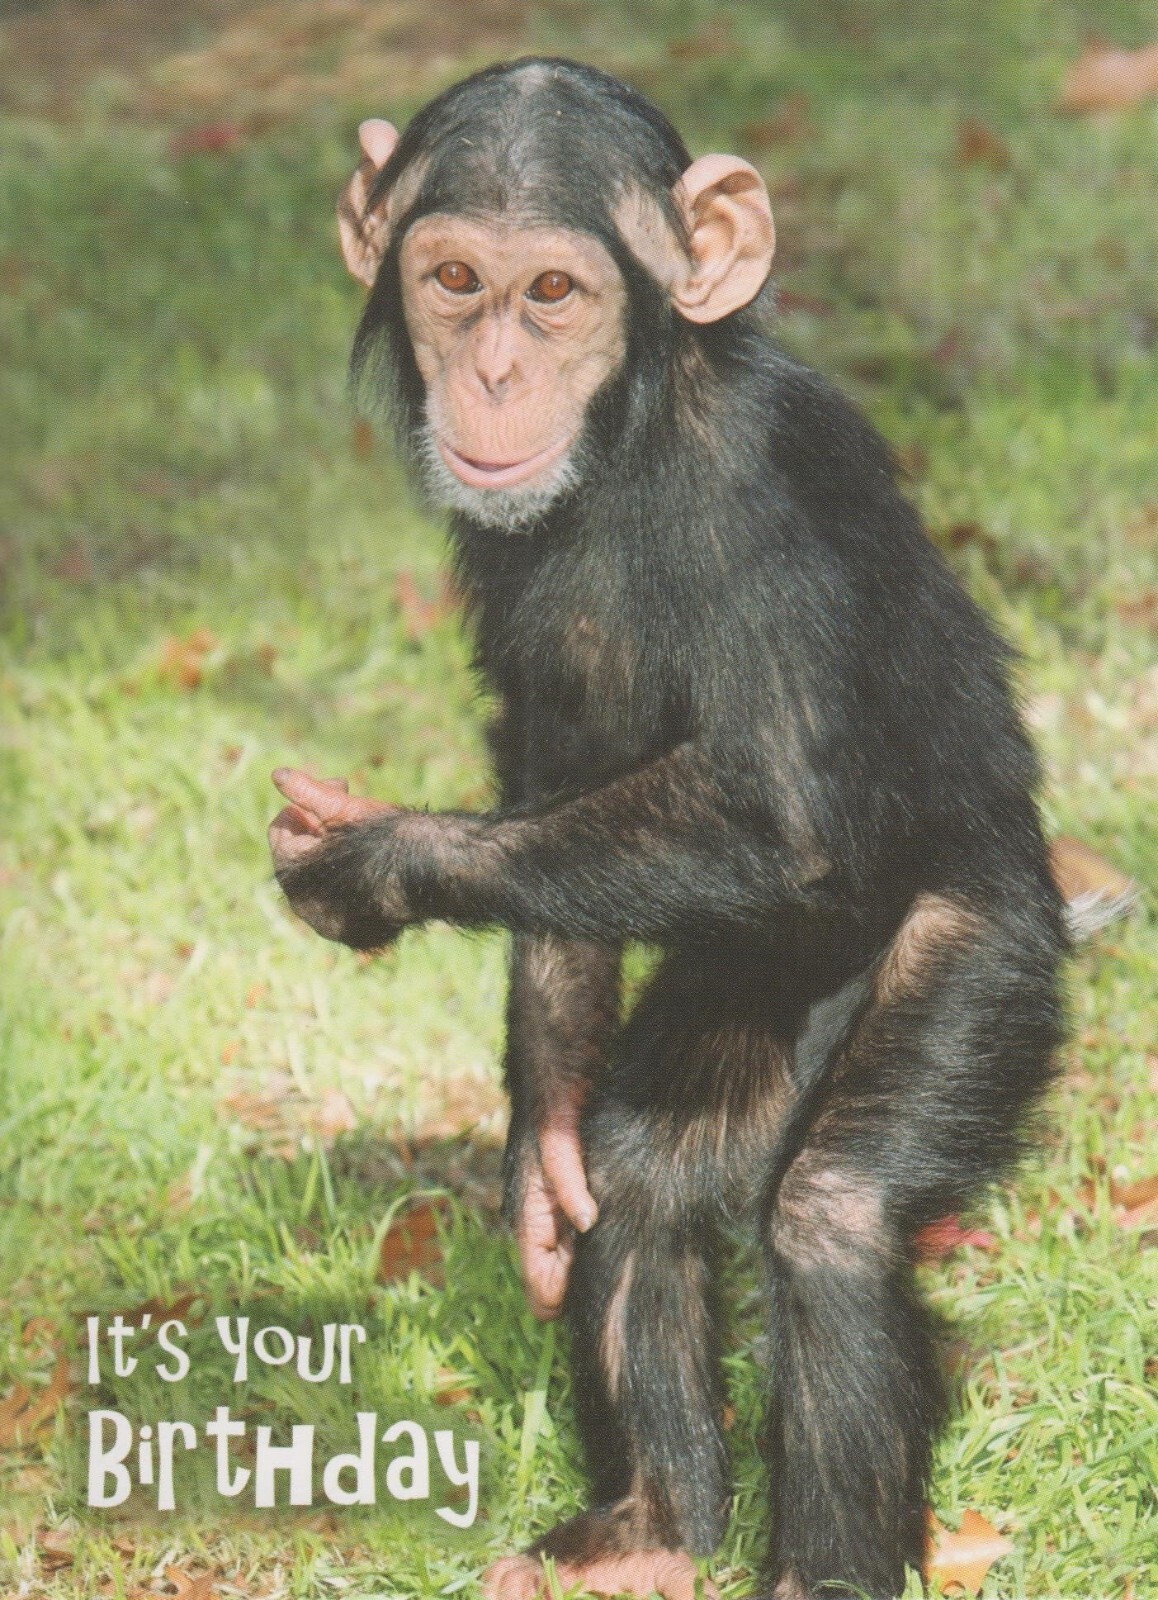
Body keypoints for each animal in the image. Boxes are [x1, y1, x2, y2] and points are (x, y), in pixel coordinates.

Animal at [267, 58, 1068, 1600]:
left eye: (553, 293)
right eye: (453, 280)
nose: (495, 371)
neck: (633, 439)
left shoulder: (762, 501)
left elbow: (789, 819)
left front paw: (373, 863)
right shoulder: (503, 556)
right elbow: (554, 777)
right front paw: (542, 1148)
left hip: (984, 947)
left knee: (830, 1212)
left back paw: (813, 1565)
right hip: (744, 983)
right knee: (647, 1170)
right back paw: (649, 1526)